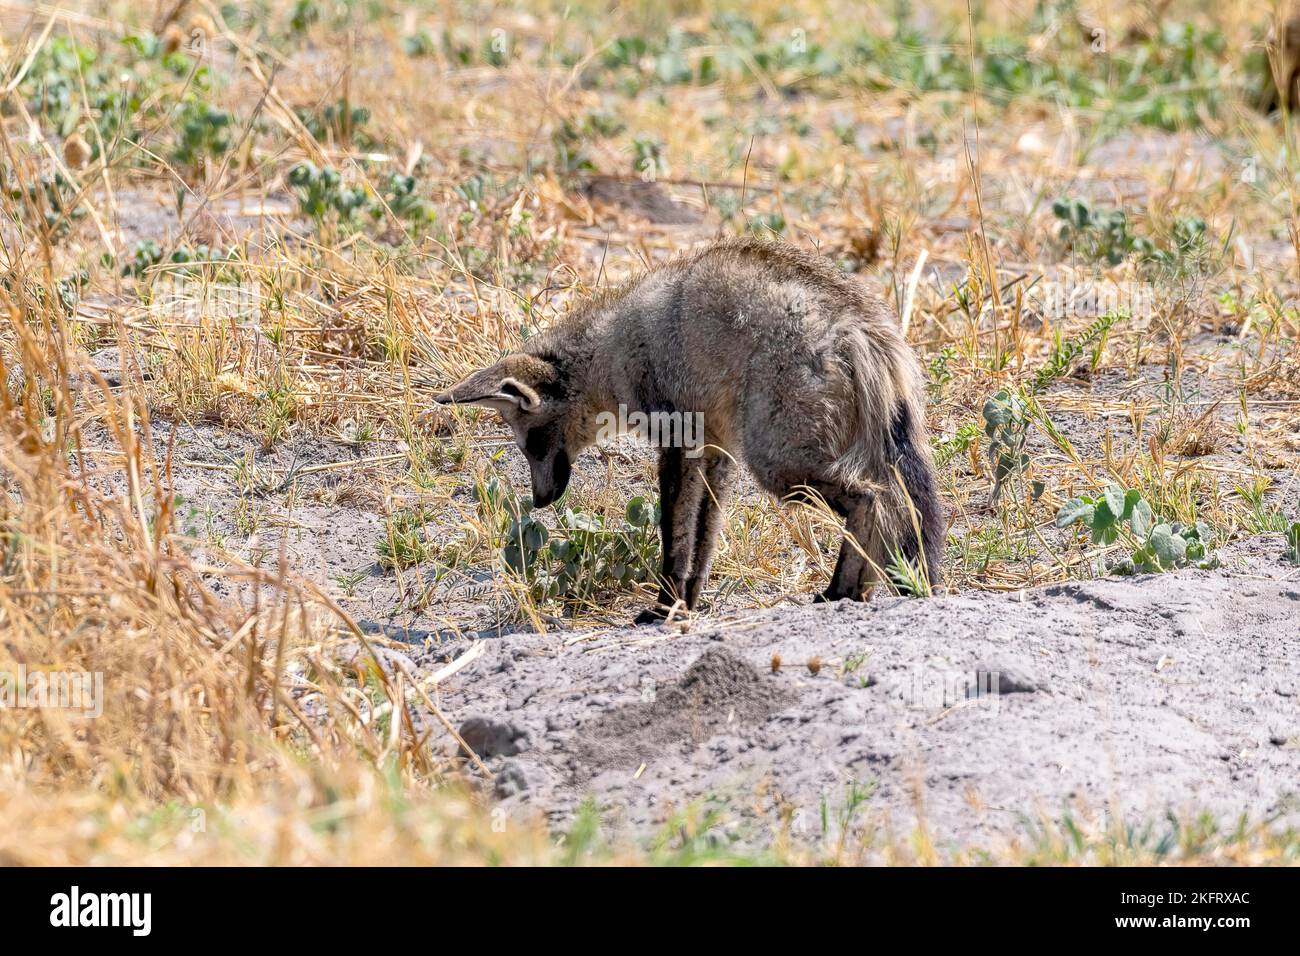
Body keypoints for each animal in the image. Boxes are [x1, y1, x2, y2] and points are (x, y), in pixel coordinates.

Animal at [436, 238, 943, 624]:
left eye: (530, 441)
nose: (540, 501)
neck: (611, 345)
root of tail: (859, 323)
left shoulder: (677, 444)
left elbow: (673, 535)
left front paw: (665, 607)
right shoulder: (717, 451)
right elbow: (703, 539)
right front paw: (689, 603)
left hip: (780, 468)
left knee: (873, 499)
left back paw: (841, 590)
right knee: (894, 507)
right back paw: (859, 591)